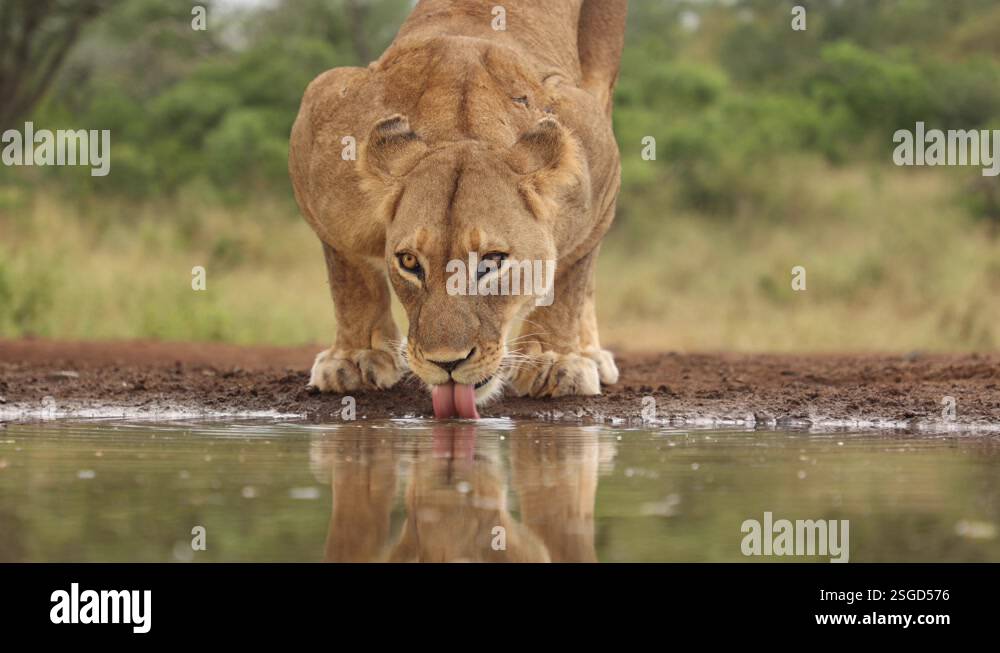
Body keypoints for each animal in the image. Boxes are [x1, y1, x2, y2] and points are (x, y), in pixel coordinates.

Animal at [289, 0, 627, 417]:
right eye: (409, 262)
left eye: (493, 262)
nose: (446, 363)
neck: (459, 126)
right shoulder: (320, 129)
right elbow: (350, 278)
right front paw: (354, 359)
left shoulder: (599, 157)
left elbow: (571, 279)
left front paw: (555, 362)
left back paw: (589, 353)